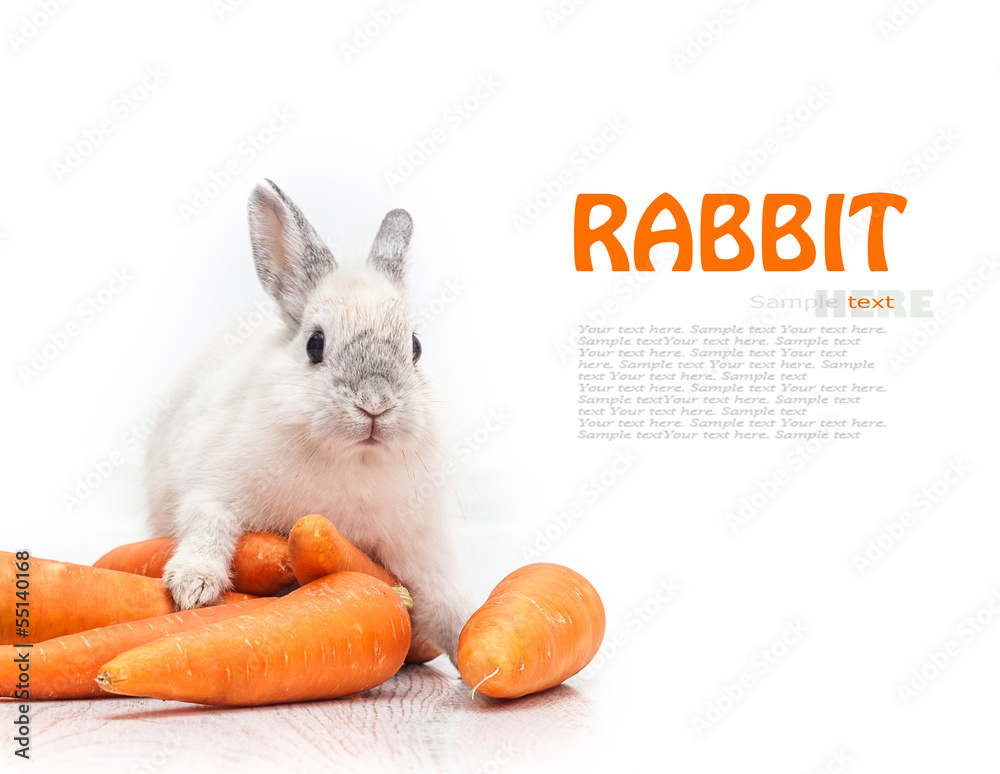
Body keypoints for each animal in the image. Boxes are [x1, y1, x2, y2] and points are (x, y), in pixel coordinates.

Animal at [145, 179, 475, 665]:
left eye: (415, 347)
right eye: (314, 345)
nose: (375, 404)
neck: (351, 462)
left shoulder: (420, 550)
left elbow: (447, 604)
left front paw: (479, 645)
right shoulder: (211, 490)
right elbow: (207, 525)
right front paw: (193, 587)